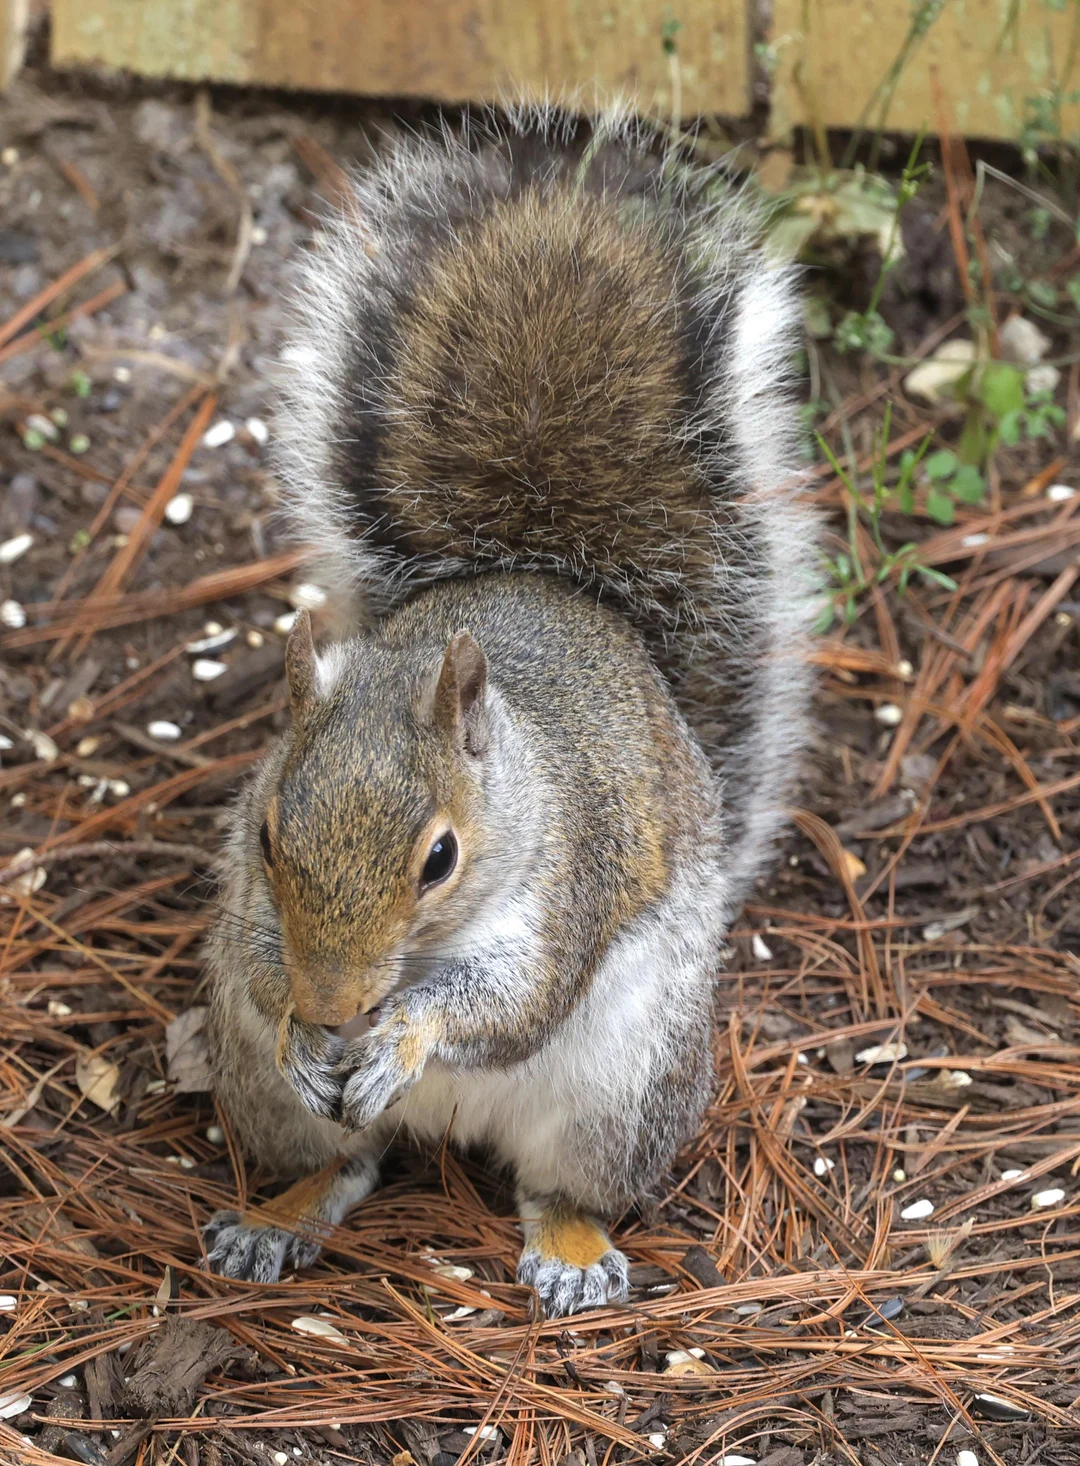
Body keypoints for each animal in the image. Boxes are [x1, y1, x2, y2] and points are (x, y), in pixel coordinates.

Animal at [203, 106, 818, 1316]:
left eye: (440, 857)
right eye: (268, 834)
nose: (335, 1009)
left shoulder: (567, 877)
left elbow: (508, 1001)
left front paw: (408, 1033)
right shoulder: (254, 909)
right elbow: (261, 961)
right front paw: (305, 1026)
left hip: (624, 1088)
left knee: (562, 1184)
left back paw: (571, 1250)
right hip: (256, 1084)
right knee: (344, 1163)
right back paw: (278, 1215)